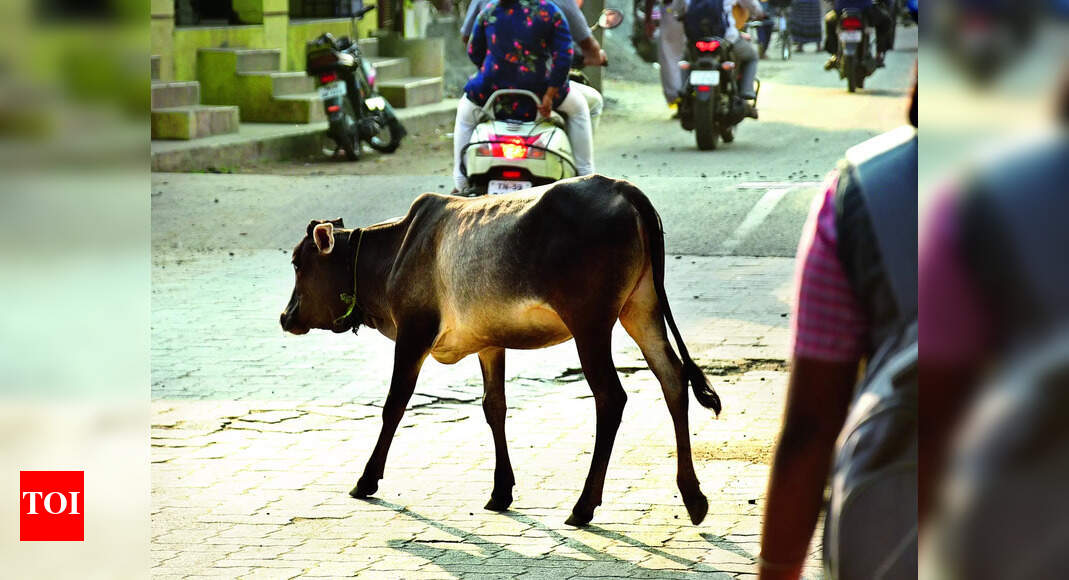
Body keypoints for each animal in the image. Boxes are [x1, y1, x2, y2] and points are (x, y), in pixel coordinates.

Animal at [280, 175, 721, 526]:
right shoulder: (490, 343)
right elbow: (495, 407)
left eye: (299, 263)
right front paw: (501, 491)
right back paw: (693, 497)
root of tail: (623, 189)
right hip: (641, 308)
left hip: (591, 324)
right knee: (672, 378)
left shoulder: (413, 333)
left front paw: (366, 480)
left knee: (611, 397)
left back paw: (583, 506)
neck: (394, 252)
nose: (286, 317)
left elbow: (394, 406)